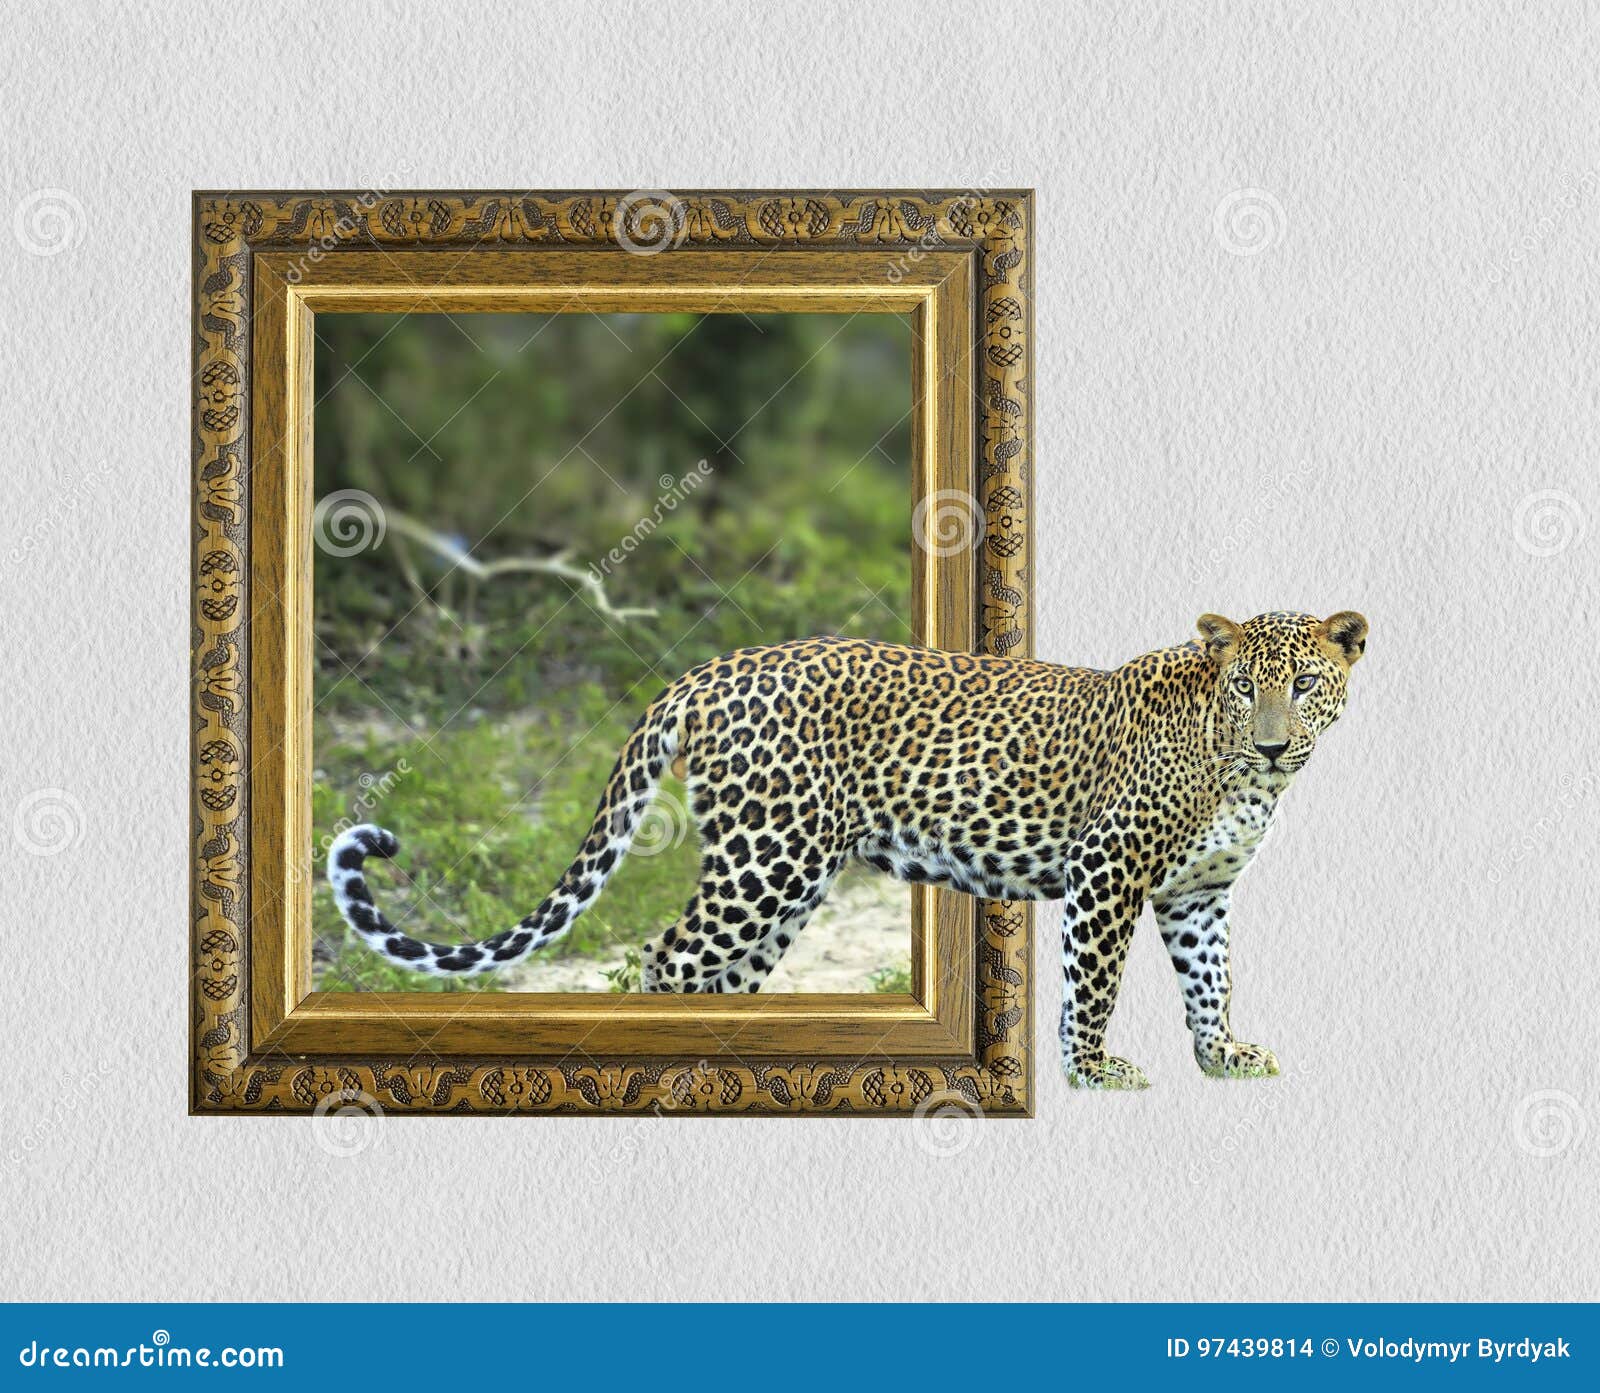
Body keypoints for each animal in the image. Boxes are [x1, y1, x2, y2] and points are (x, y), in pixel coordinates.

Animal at [327, 610, 1367, 1087]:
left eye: (1305, 683)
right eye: (1245, 686)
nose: (1273, 743)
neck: (1244, 777)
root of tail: (707, 670)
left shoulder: (1198, 893)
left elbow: (1210, 977)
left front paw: (1224, 1054)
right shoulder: (1107, 869)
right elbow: (1095, 982)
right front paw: (1094, 1070)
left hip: (784, 882)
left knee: (720, 972)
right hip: (765, 862)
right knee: (667, 957)